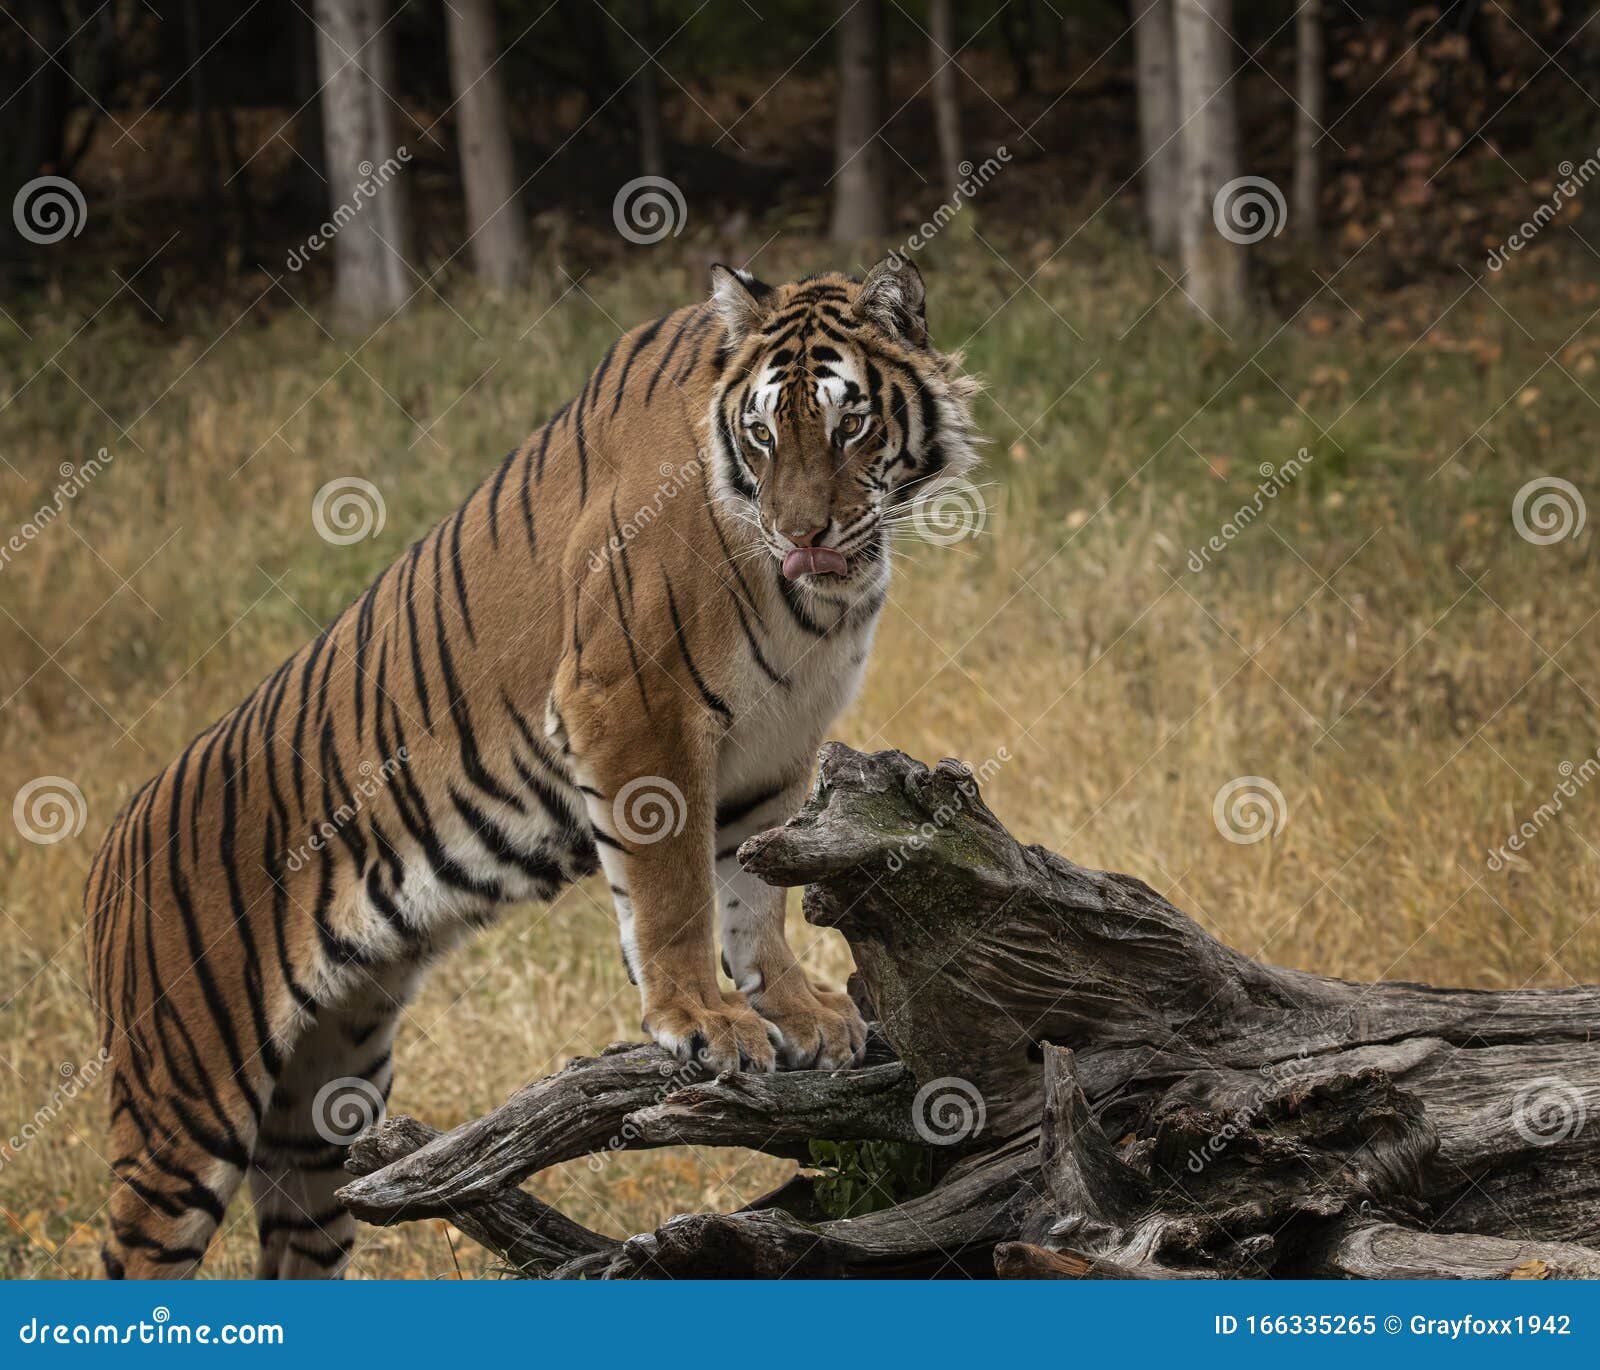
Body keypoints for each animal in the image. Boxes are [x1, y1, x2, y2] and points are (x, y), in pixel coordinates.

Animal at [83, 254, 982, 1279]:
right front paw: (702, 1023)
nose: (803, 535)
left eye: (849, 424)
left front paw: (799, 1013)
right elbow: (673, 889)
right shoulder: (630, 702)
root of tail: (110, 850)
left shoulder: (776, 746)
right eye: (763, 432)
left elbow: (756, 895)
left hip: (325, 1101)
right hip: (186, 1103)